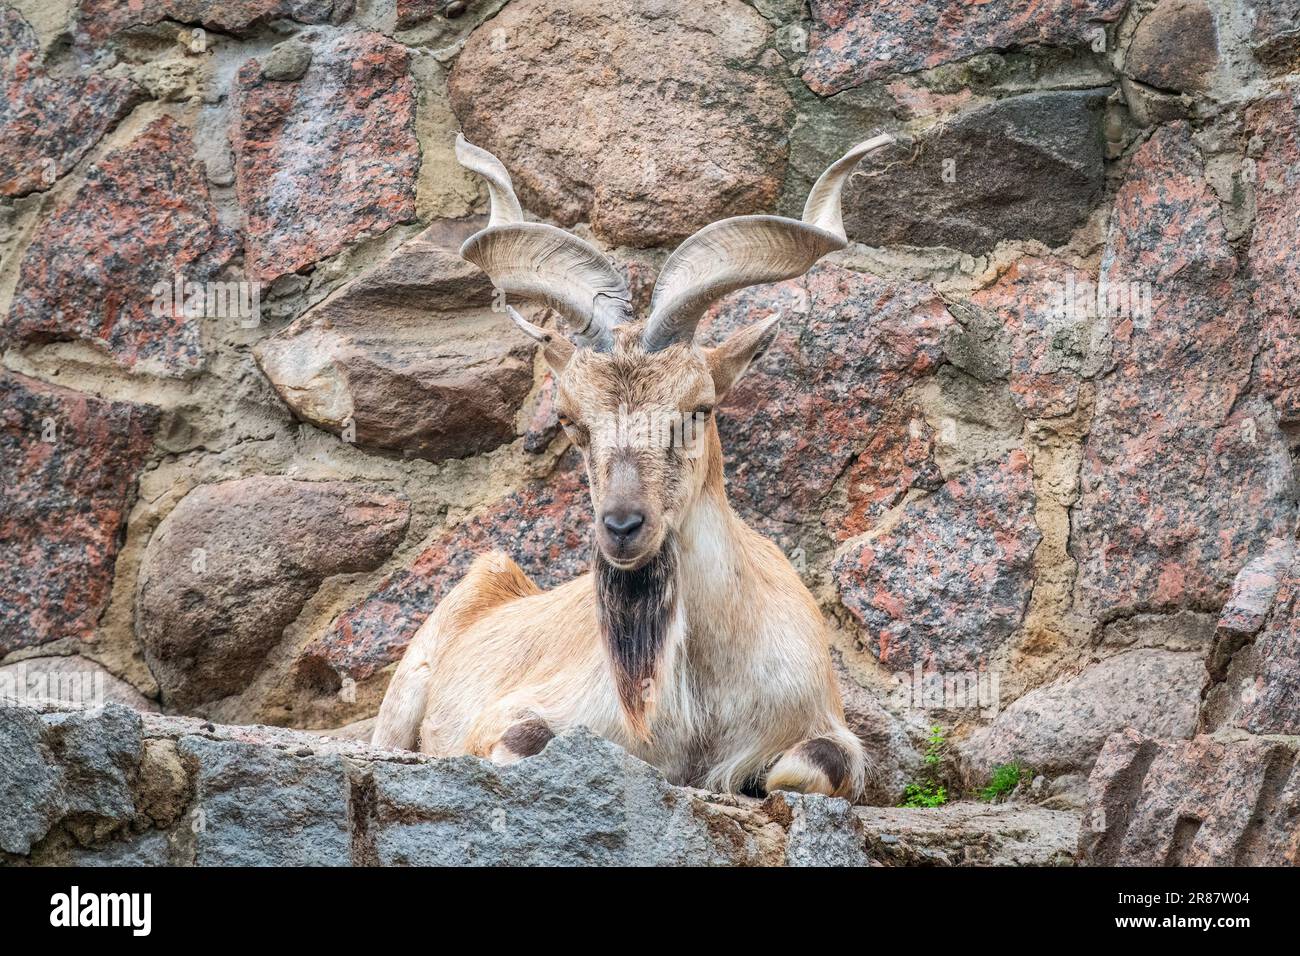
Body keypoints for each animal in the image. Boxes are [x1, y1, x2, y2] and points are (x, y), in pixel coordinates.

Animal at [372, 133, 896, 798]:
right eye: (571, 419)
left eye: (699, 408)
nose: (622, 528)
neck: (704, 688)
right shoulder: (513, 715)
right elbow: (521, 744)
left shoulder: (826, 725)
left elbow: (812, 765)